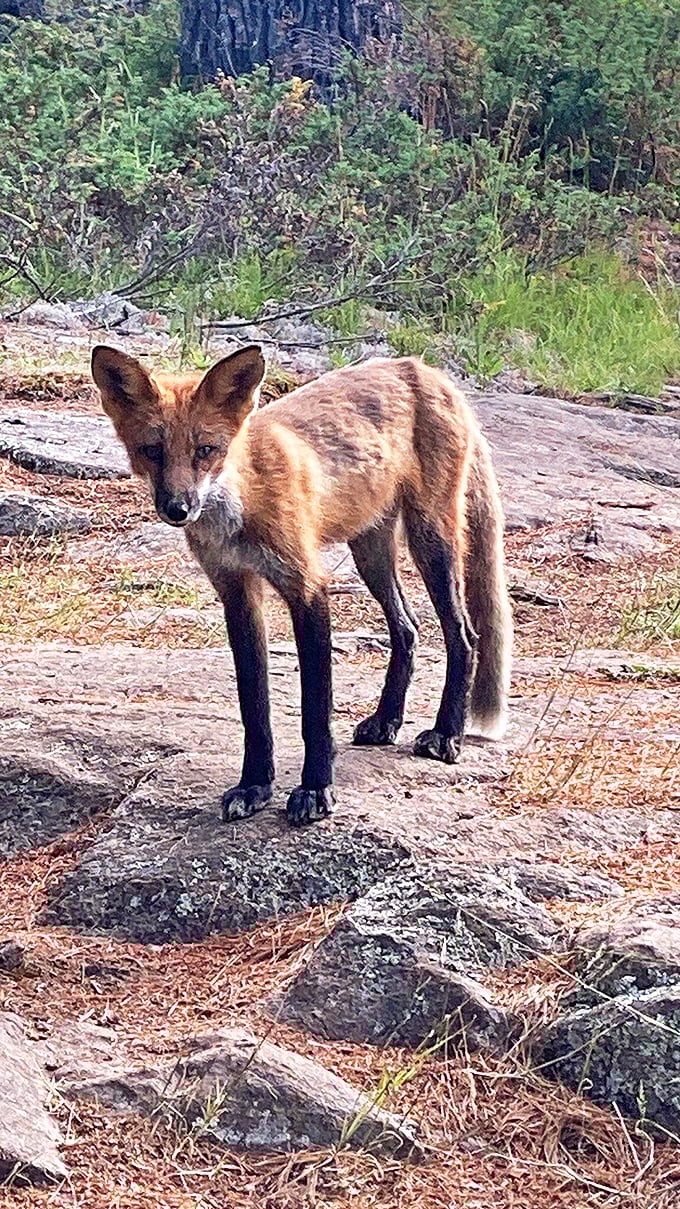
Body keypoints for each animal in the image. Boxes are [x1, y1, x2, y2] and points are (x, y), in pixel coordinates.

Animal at [91, 345, 513, 827]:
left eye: (206, 450)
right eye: (152, 451)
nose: (178, 508)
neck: (244, 502)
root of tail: (422, 368)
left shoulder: (307, 587)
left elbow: (315, 710)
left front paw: (315, 790)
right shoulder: (237, 592)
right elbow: (254, 708)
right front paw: (255, 786)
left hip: (432, 541)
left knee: (464, 635)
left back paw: (446, 733)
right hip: (370, 551)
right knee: (407, 629)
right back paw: (386, 720)